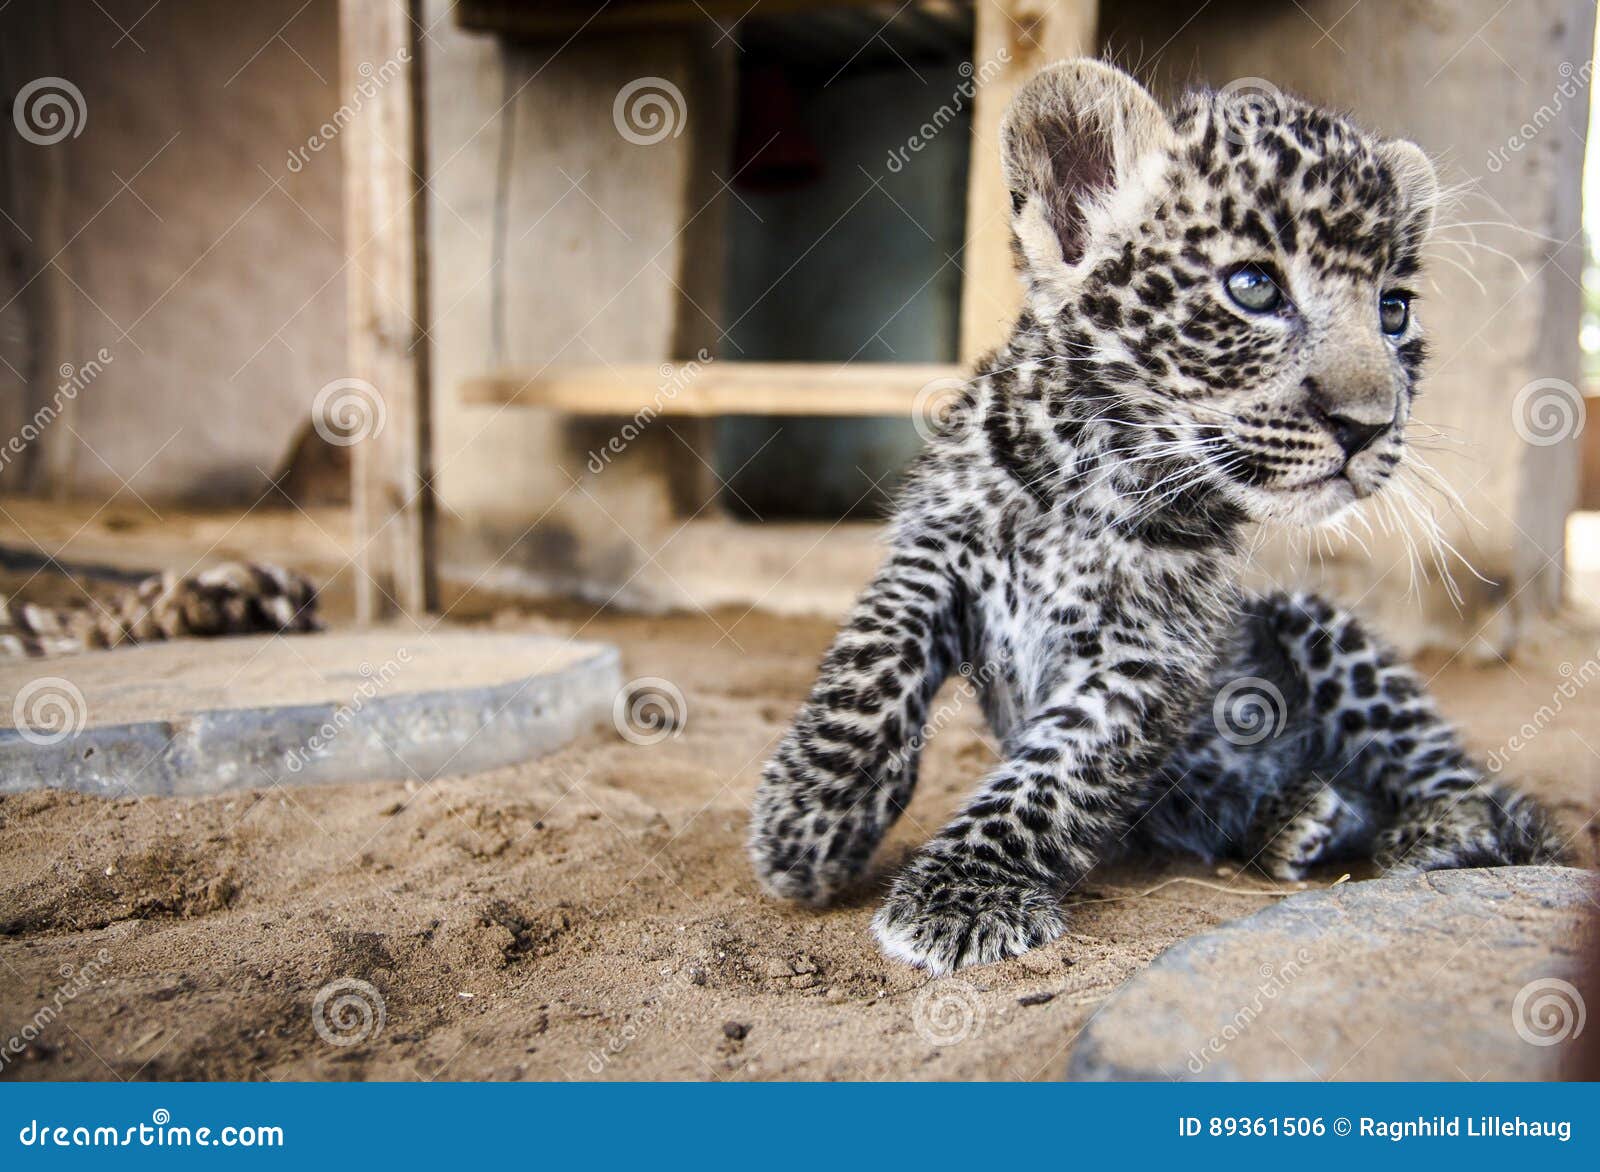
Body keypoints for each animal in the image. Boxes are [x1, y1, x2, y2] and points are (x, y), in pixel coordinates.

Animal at [746, 59, 1564, 975]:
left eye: (1393, 311)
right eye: (1254, 287)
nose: (1368, 425)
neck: (1091, 473)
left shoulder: (1145, 655)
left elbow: (1054, 776)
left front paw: (962, 892)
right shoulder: (933, 552)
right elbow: (870, 662)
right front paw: (809, 817)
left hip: (1317, 624)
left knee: (1462, 779)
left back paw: (1431, 831)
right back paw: (1301, 816)